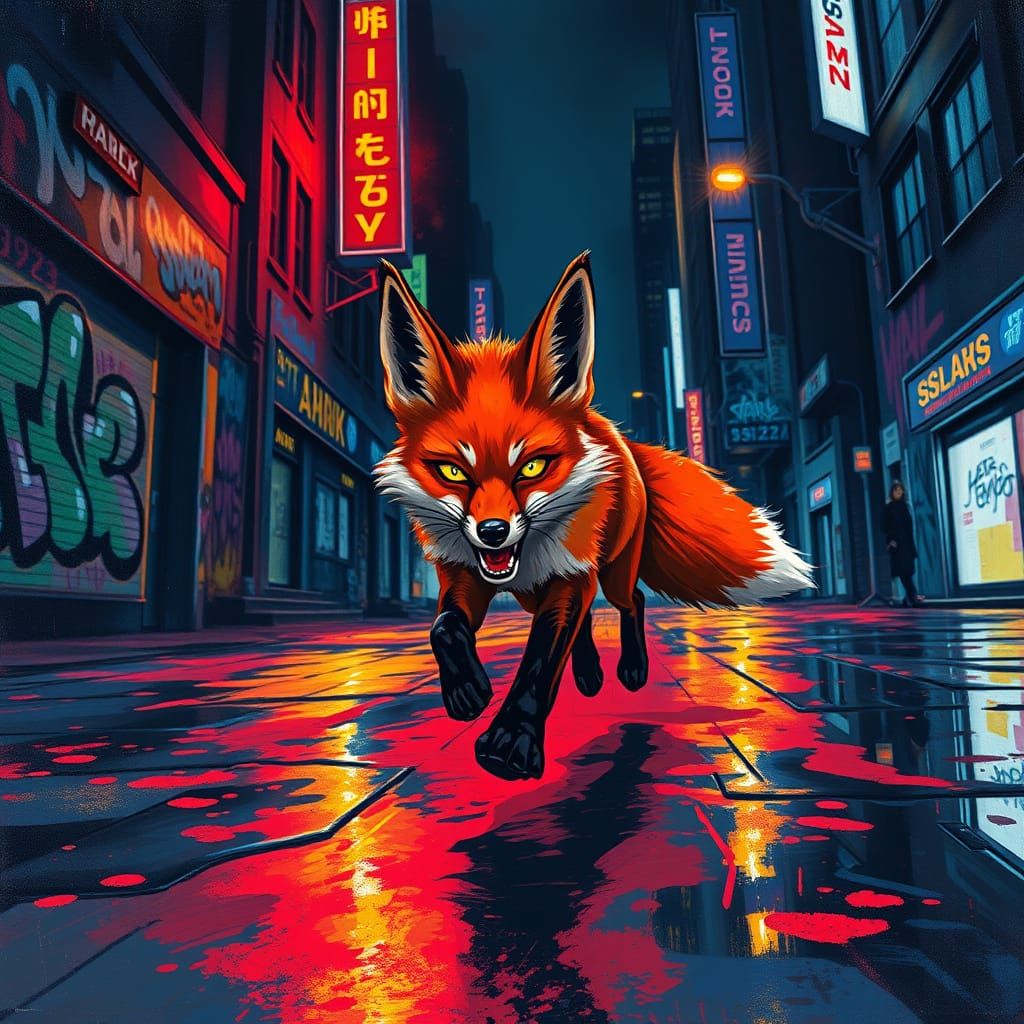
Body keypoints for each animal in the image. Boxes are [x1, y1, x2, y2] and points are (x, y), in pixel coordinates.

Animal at [373, 252, 813, 781]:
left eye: (533, 467)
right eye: (454, 471)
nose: (493, 532)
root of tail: (612, 433)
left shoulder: (567, 573)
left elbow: (540, 660)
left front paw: (512, 739)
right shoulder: (464, 575)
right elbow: (443, 628)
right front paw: (466, 691)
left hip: (612, 572)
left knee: (631, 601)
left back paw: (629, 669)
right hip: (537, 590)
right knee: (581, 620)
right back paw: (586, 672)